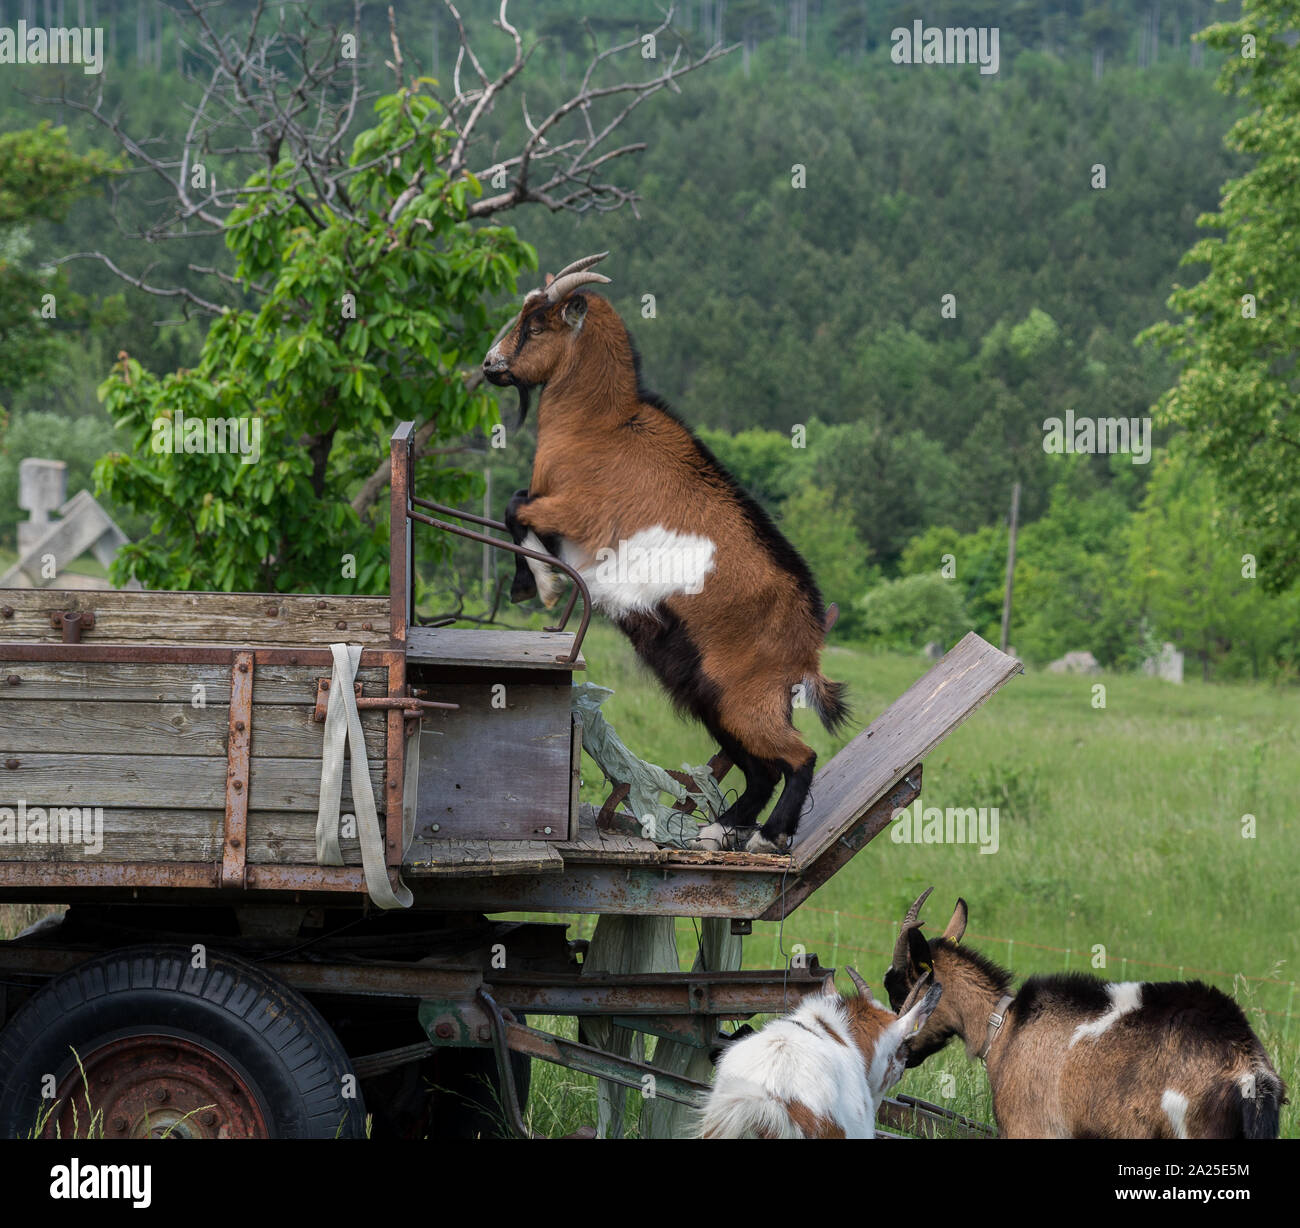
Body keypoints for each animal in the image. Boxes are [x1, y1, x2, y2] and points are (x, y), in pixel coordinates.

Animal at [482, 252, 849, 853]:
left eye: (536, 323)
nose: (491, 365)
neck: (599, 425)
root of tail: (810, 642)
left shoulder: (575, 513)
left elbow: (516, 509)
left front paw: (538, 585)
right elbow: (513, 501)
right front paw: (532, 582)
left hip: (745, 697)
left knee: (799, 756)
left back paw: (769, 836)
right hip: (713, 695)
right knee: (761, 766)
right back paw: (723, 828)